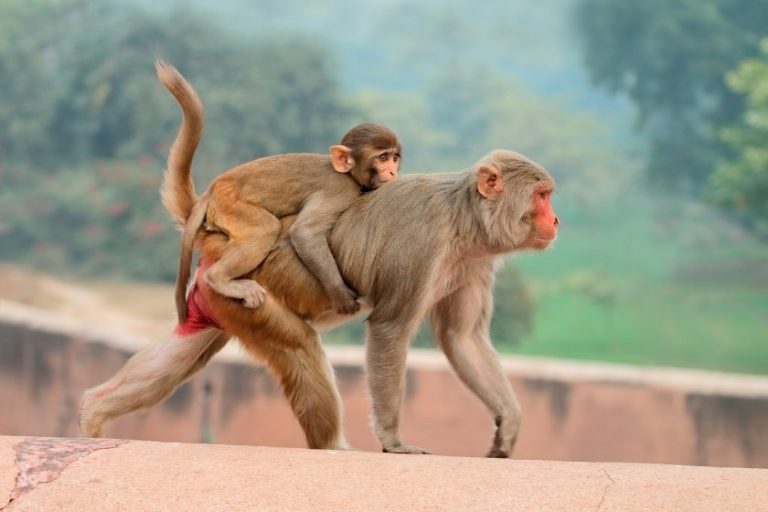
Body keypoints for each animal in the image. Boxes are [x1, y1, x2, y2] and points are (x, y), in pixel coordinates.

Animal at [80, 145, 559, 456]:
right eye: (542, 196)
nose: (555, 219)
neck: (464, 220)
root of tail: (216, 233)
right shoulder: (422, 248)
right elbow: (390, 329)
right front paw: (392, 440)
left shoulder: (477, 261)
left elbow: (462, 338)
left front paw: (509, 423)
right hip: (253, 293)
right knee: (299, 348)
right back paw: (332, 447)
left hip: (214, 301)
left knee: (183, 354)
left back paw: (93, 412)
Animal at [155, 60, 401, 322]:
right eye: (382, 158)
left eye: (395, 158)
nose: (393, 172)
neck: (349, 174)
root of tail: (213, 189)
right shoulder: (341, 191)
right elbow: (305, 232)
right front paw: (341, 294)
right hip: (231, 205)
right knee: (265, 228)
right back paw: (219, 279)